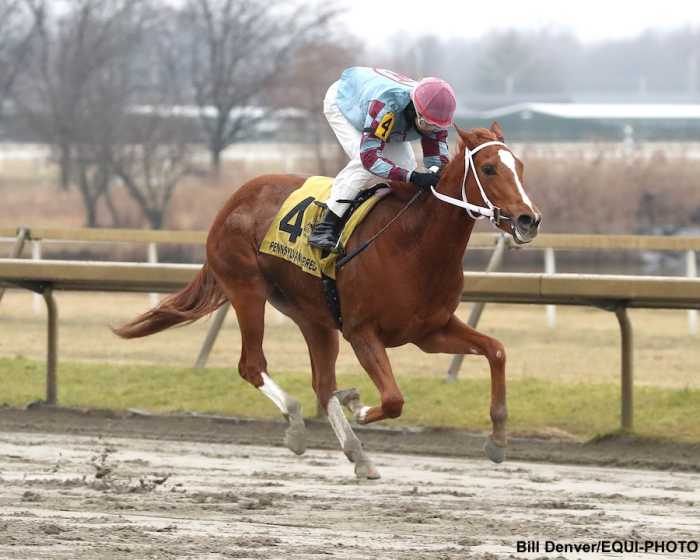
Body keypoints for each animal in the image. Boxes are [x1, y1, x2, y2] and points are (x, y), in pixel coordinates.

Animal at [114, 122, 541, 479]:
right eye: (489, 168)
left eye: (519, 166)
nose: (528, 220)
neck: (414, 242)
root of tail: (234, 199)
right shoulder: (361, 332)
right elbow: (393, 399)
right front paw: (358, 404)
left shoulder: (429, 331)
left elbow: (496, 351)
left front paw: (498, 440)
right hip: (247, 289)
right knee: (252, 365)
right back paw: (297, 426)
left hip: (312, 316)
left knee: (321, 383)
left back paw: (358, 454)